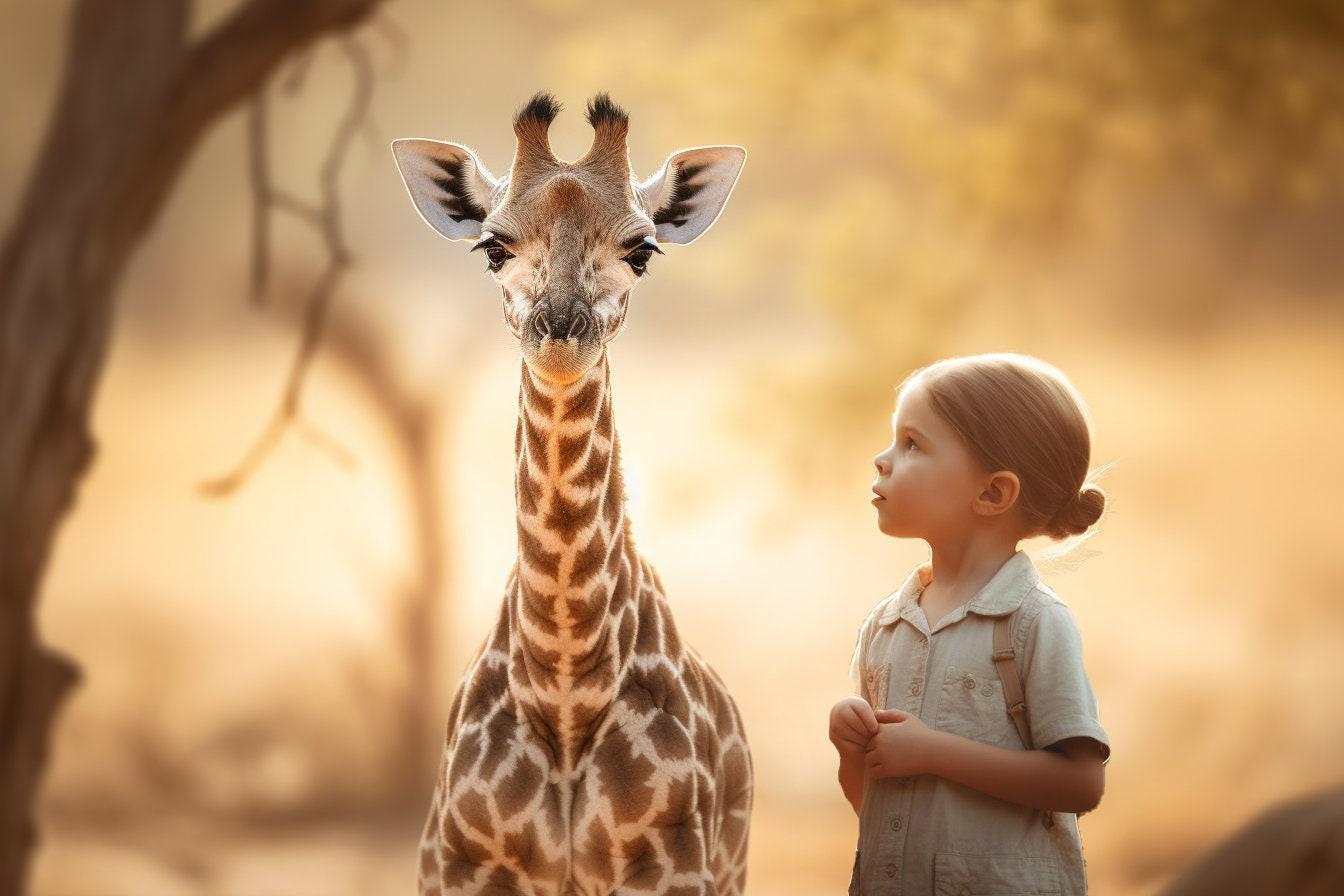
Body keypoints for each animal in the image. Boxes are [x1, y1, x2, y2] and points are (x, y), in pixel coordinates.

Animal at [392, 92, 751, 896]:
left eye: (641, 249)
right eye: (492, 246)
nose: (560, 331)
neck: (563, 690)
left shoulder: (667, 868)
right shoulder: (464, 866)